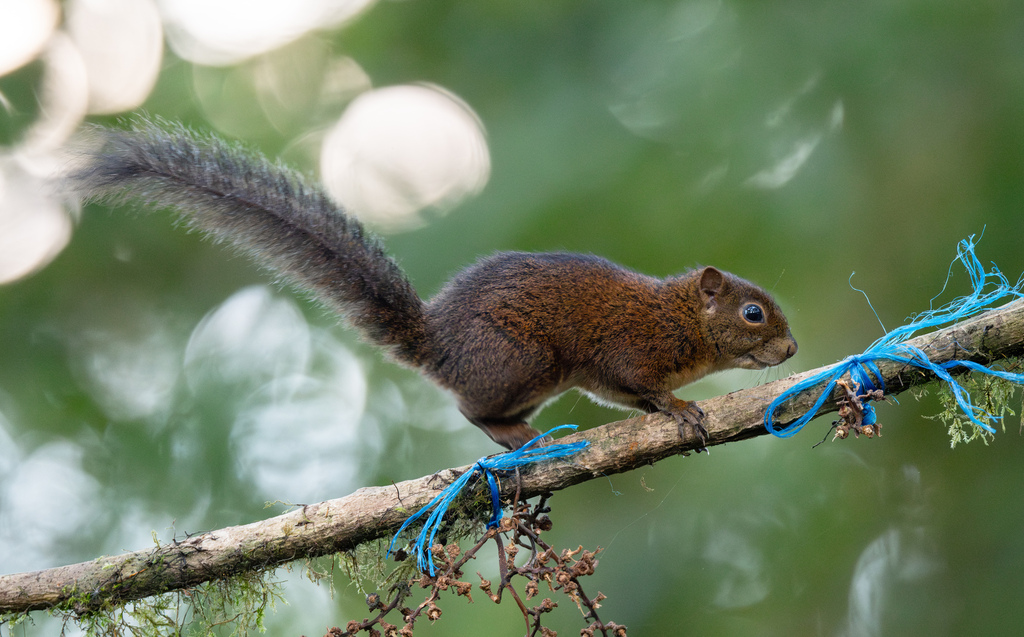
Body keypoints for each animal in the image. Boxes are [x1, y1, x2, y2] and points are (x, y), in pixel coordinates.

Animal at [62, 120, 798, 451]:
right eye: (753, 313)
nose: (792, 350)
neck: (682, 319)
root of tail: (434, 341)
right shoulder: (630, 346)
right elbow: (640, 383)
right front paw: (678, 407)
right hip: (522, 359)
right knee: (471, 409)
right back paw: (518, 436)